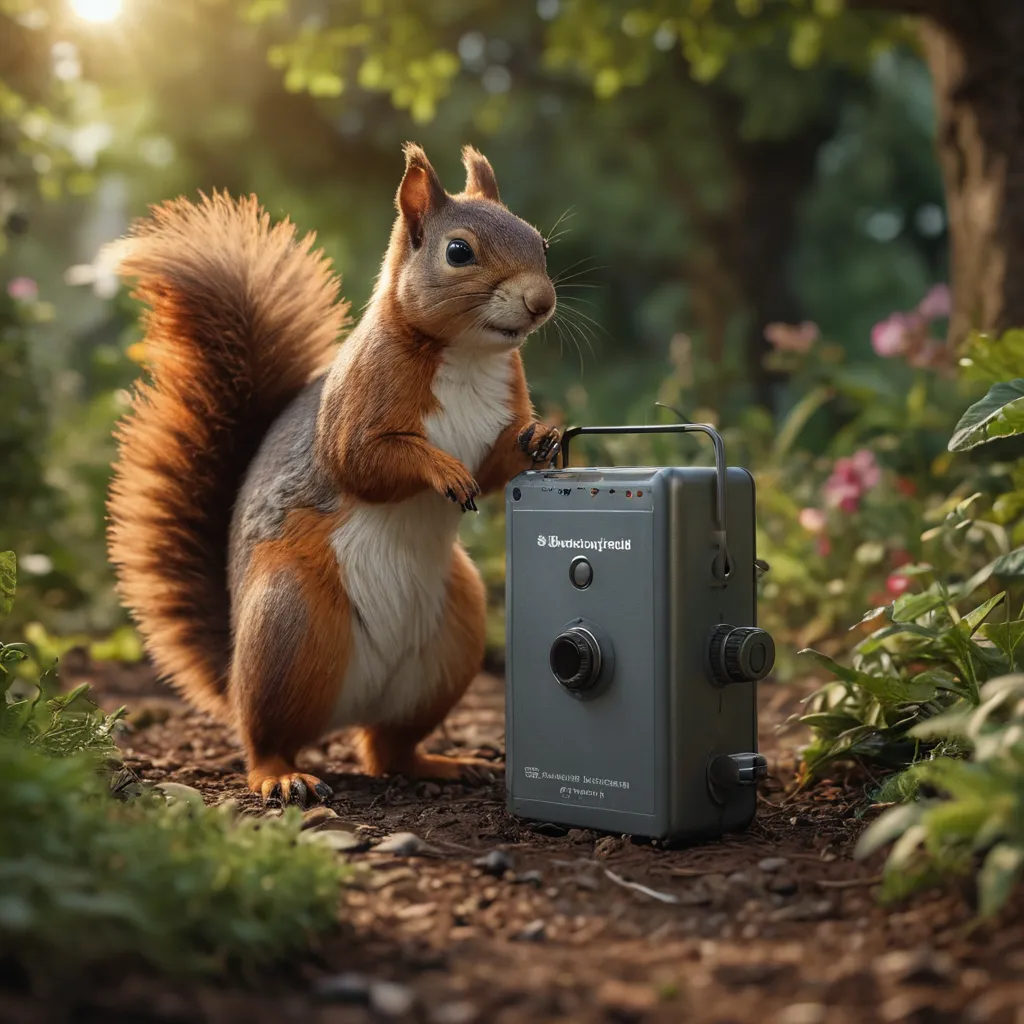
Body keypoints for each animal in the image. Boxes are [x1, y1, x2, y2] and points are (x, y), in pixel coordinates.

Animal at [106, 143, 560, 807]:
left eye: (540, 241)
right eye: (458, 251)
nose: (541, 302)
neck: (468, 356)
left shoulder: (498, 420)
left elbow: (500, 460)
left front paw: (545, 437)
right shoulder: (356, 412)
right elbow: (366, 463)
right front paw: (443, 471)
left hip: (454, 640)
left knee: (388, 748)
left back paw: (442, 763)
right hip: (289, 624)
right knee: (266, 736)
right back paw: (282, 776)